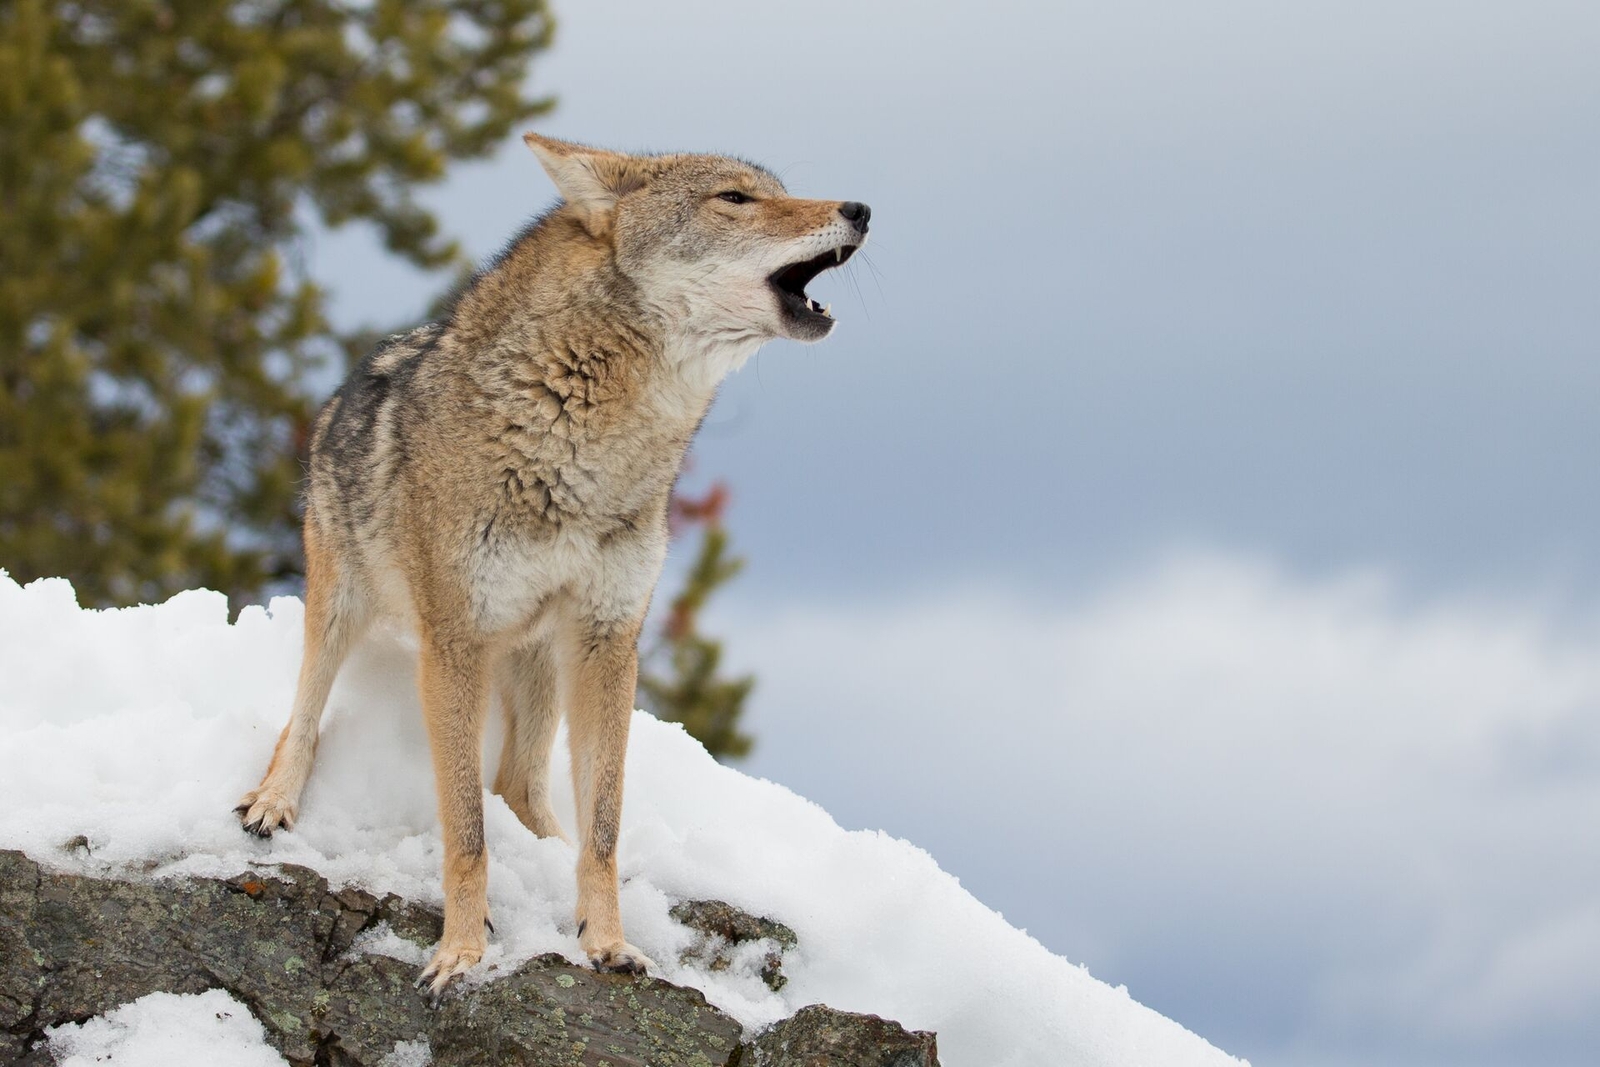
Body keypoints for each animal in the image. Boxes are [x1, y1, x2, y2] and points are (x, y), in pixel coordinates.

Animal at [233, 133, 869, 997]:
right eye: (736, 199)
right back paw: (273, 801)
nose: (861, 208)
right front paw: (462, 952)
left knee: (521, 785)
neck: (588, 446)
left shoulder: (608, 639)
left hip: (539, 660)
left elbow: (602, 829)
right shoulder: (456, 643)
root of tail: (336, 396)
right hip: (342, 606)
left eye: (777, 190)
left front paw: (607, 942)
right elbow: (466, 830)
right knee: (303, 715)